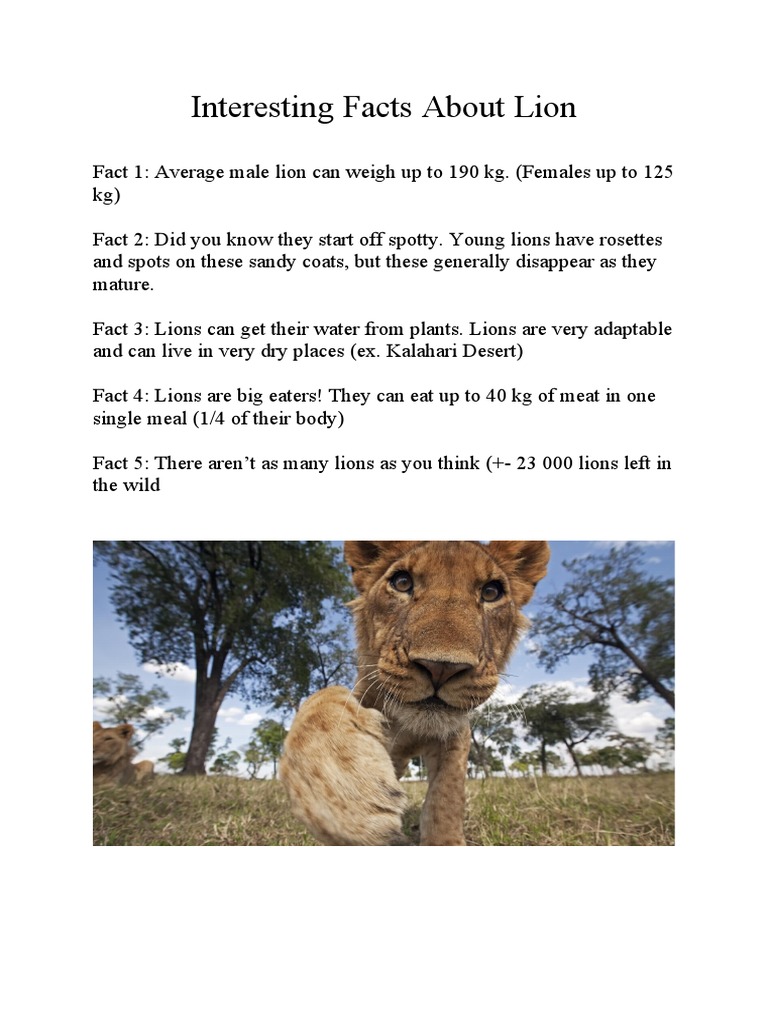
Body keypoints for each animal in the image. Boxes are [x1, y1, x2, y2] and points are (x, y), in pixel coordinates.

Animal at [280, 540, 549, 845]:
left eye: (491, 592)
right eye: (402, 582)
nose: (441, 667)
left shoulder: (456, 734)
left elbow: (447, 793)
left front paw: (445, 840)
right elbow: (321, 700)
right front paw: (348, 803)